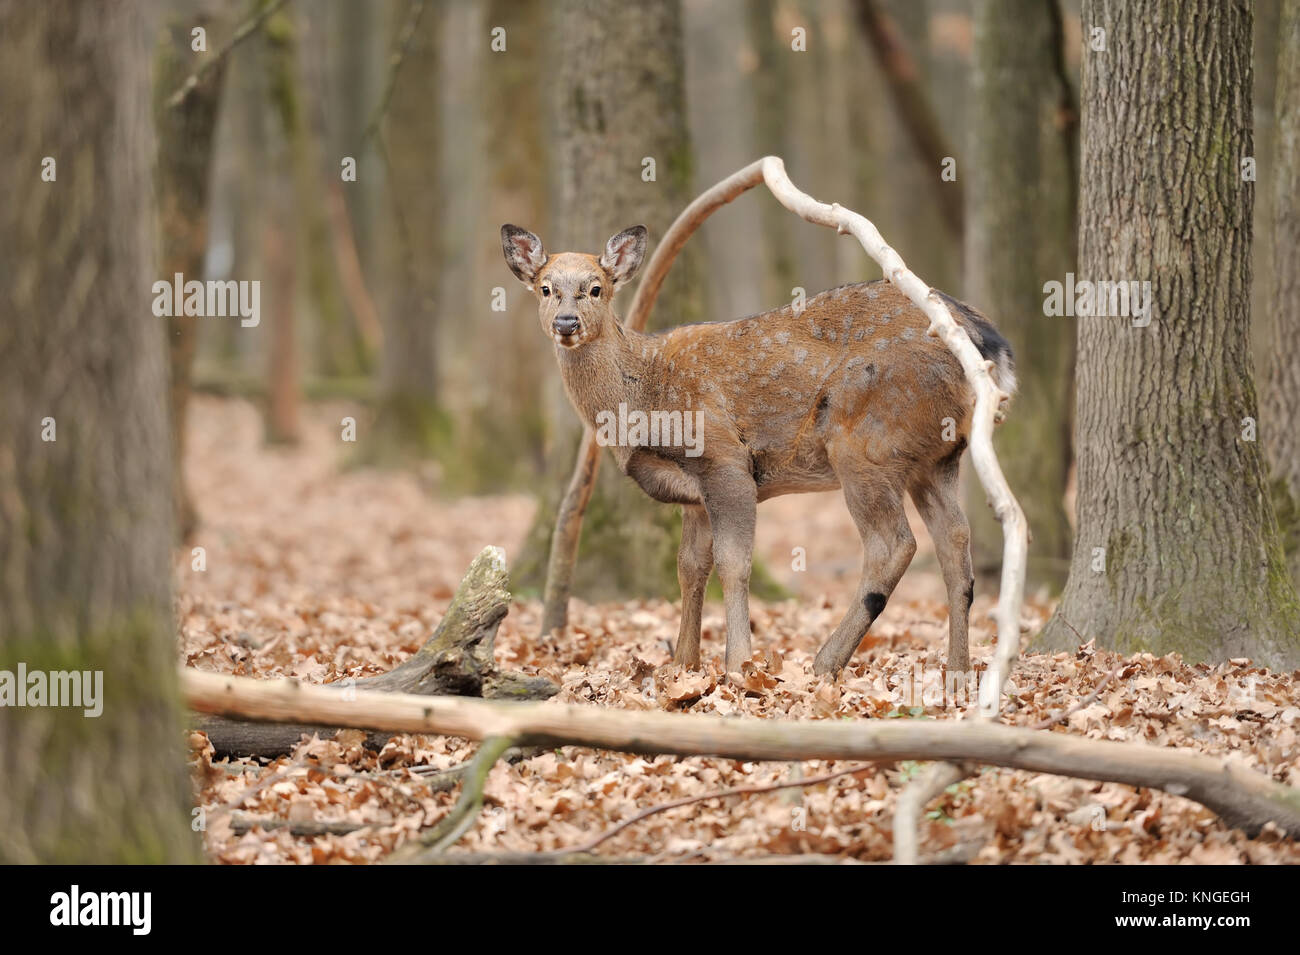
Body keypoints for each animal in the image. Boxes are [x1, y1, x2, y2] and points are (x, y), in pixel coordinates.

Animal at [501, 223, 1015, 678]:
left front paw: (737, 666)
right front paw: (683, 664)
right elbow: (690, 568)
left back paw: (824, 664)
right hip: (936, 458)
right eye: (545, 289)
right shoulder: (693, 495)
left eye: (595, 289)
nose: (566, 323)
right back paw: (957, 672)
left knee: (894, 545)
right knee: (956, 545)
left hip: (864, 436)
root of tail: (992, 349)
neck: (645, 395)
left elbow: (733, 564)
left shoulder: (723, 459)